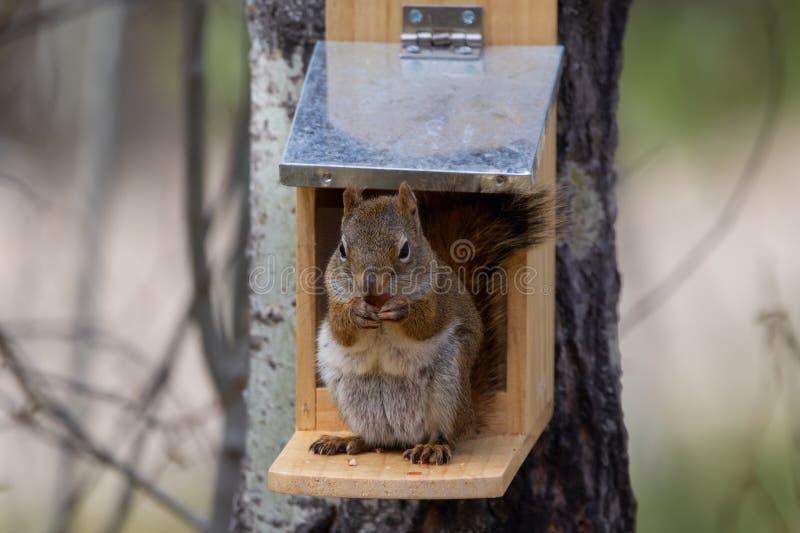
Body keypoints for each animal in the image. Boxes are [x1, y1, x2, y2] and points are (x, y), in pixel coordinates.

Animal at [310, 182, 553, 465]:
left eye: (404, 250)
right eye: (342, 249)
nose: (369, 286)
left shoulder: (438, 298)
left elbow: (427, 323)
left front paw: (402, 309)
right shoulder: (335, 294)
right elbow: (342, 329)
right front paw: (357, 312)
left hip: (450, 381)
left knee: (448, 434)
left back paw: (433, 447)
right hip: (348, 390)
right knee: (375, 439)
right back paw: (346, 440)